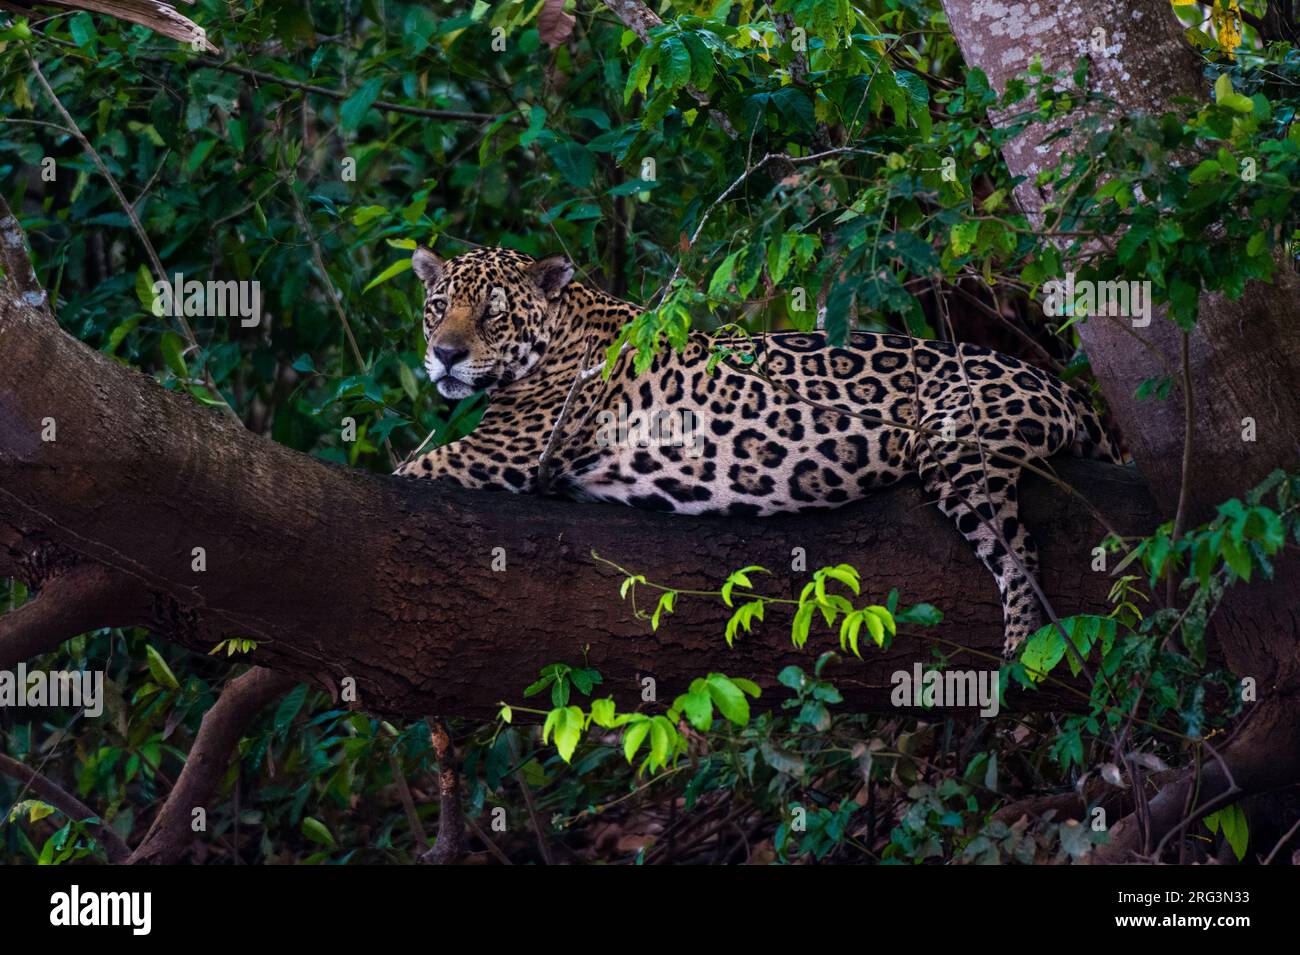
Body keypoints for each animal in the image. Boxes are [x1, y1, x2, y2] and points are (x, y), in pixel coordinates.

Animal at [395, 245, 1123, 654]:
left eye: (493, 313)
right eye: (436, 306)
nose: (445, 354)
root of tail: (1058, 381)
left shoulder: (503, 451)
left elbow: (408, 467)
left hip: (957, 450)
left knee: (1020, 554)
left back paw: (1018, 654)